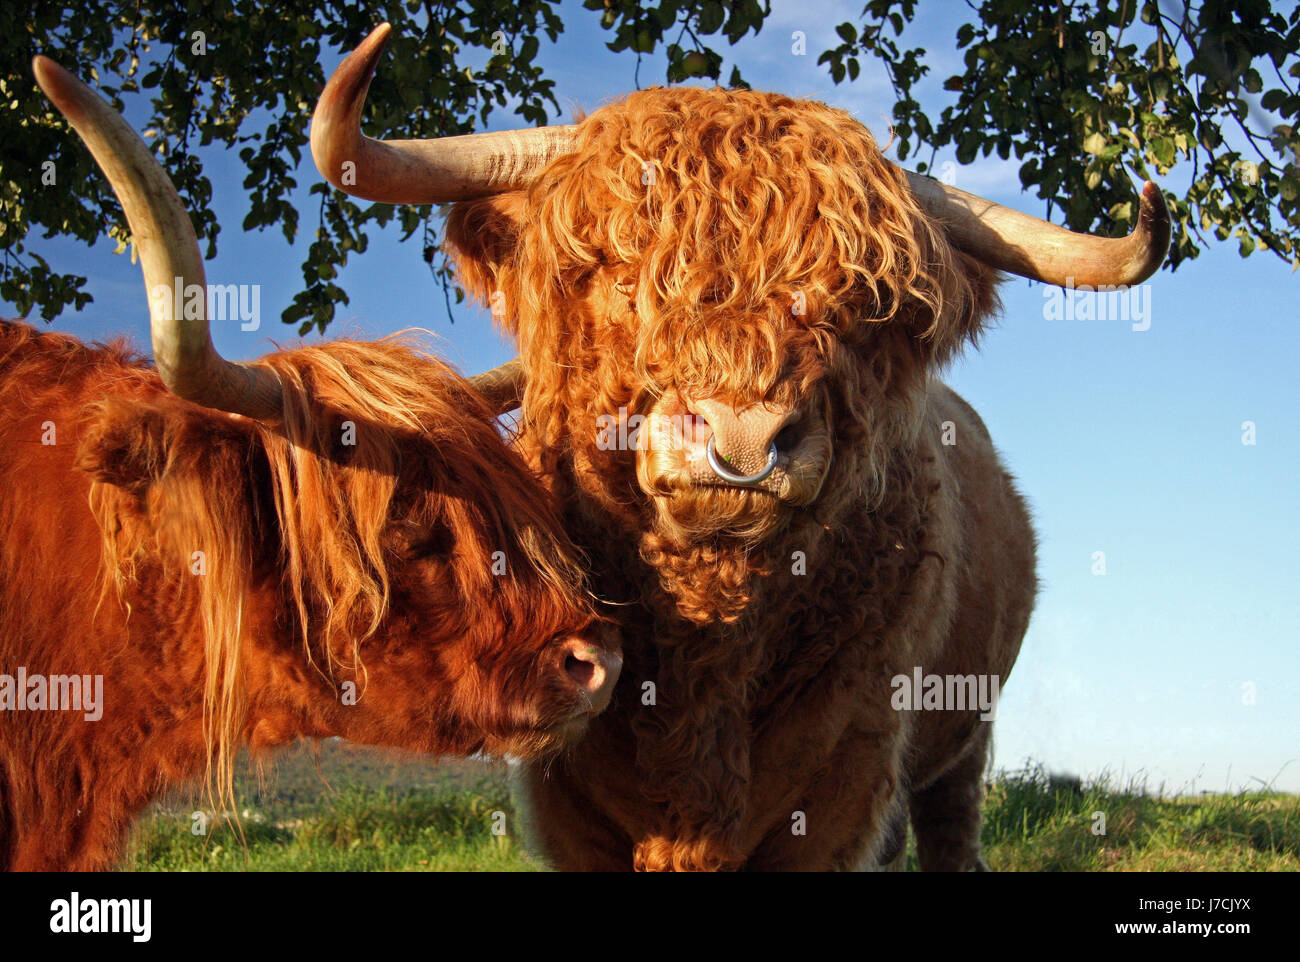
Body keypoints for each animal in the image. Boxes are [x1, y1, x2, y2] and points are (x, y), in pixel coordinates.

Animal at [314, 24, 1171, 871]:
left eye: (860, 303)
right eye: (618, 274)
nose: (743, 434)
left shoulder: (846, 769)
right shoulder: (566, 789)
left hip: (964, 731)